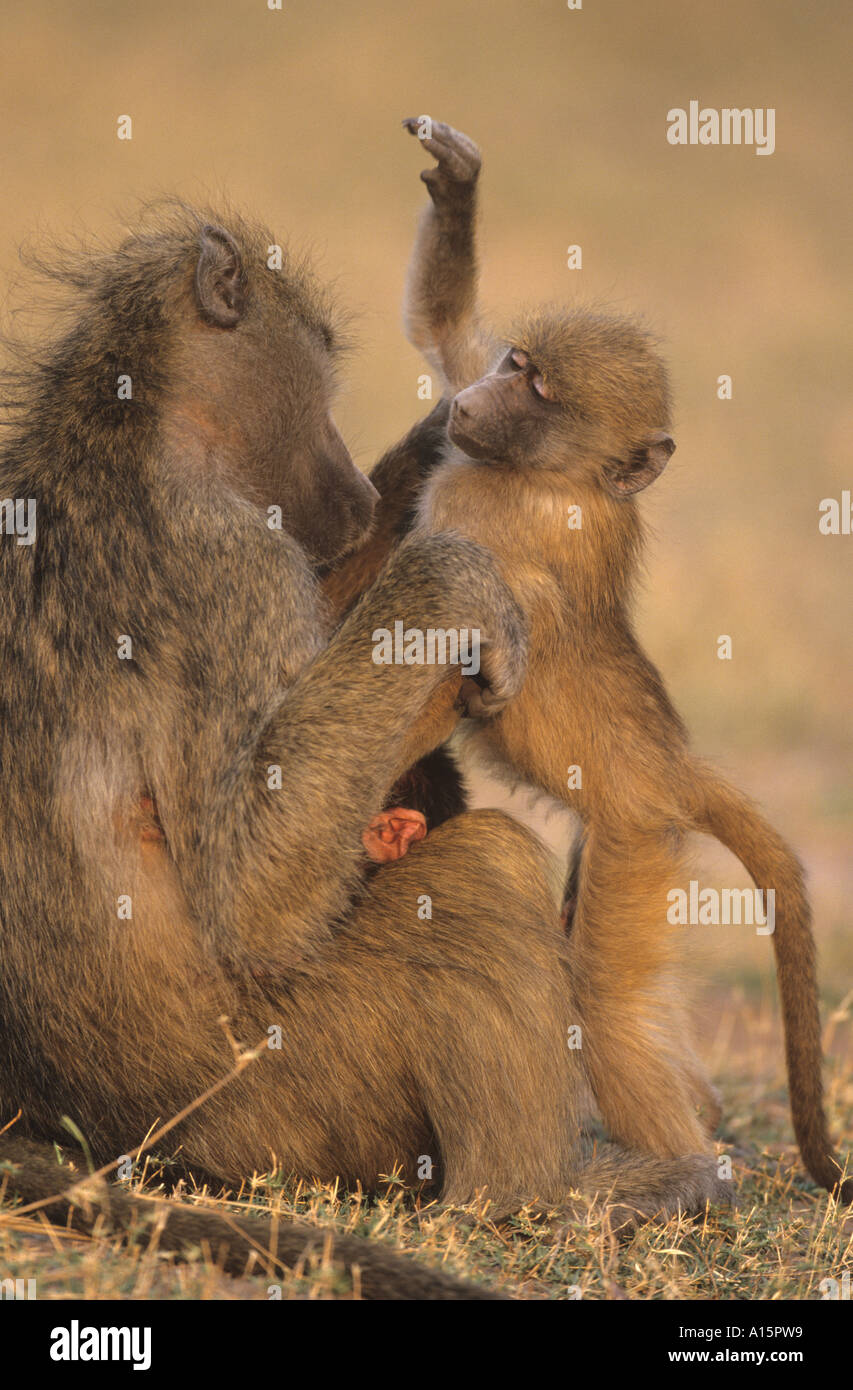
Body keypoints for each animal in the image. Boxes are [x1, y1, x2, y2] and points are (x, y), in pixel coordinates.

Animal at [0, 194, 731, 1293]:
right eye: (324, 366)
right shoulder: (236, 556)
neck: (120, 428)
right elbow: (254, 900)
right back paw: (540, 1198)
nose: (349, 490)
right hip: (277, 1103)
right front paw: (450, 567)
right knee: (479, 872)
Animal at [400, 117, 851, 1203]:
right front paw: (459, 187)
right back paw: (702, 1126)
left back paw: (693, 1173)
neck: (542, 475)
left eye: (539, 388)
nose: (476, 400)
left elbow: (499, 622)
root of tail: (670, 763)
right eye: (513, 361)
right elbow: (441, 324)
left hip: (631, 836)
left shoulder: (540, 543)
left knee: (604, 1003)